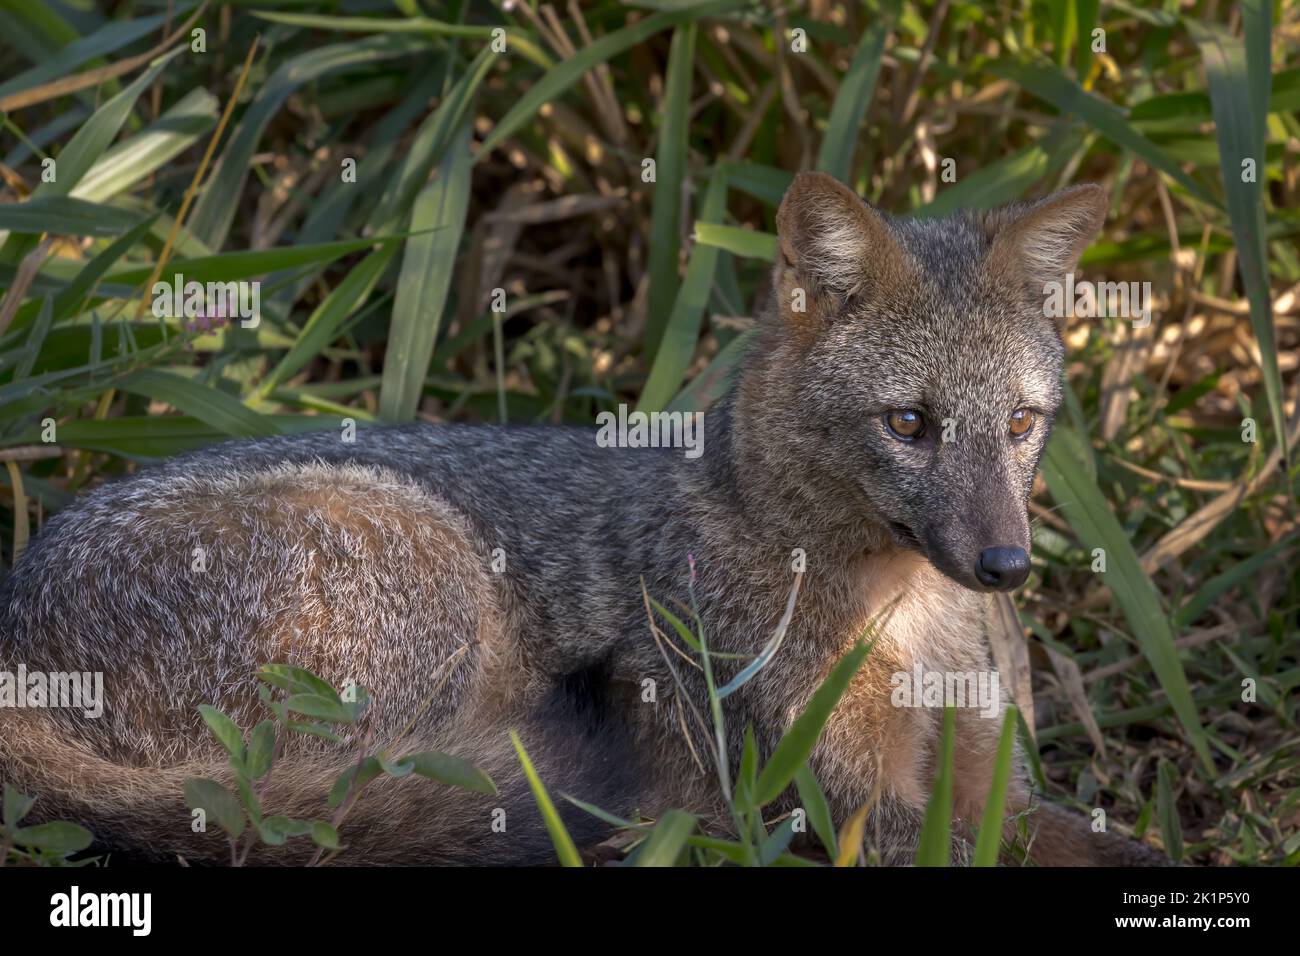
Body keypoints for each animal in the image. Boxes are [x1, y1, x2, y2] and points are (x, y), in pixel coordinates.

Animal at [0, 171, 1169, 866]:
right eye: (910, 424)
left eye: (1019, 424)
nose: (1004, 564)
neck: (909, 624)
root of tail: (15, 619)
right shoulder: (845, 805)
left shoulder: (984, 780)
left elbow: (1113, 844)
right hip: (434, 602)